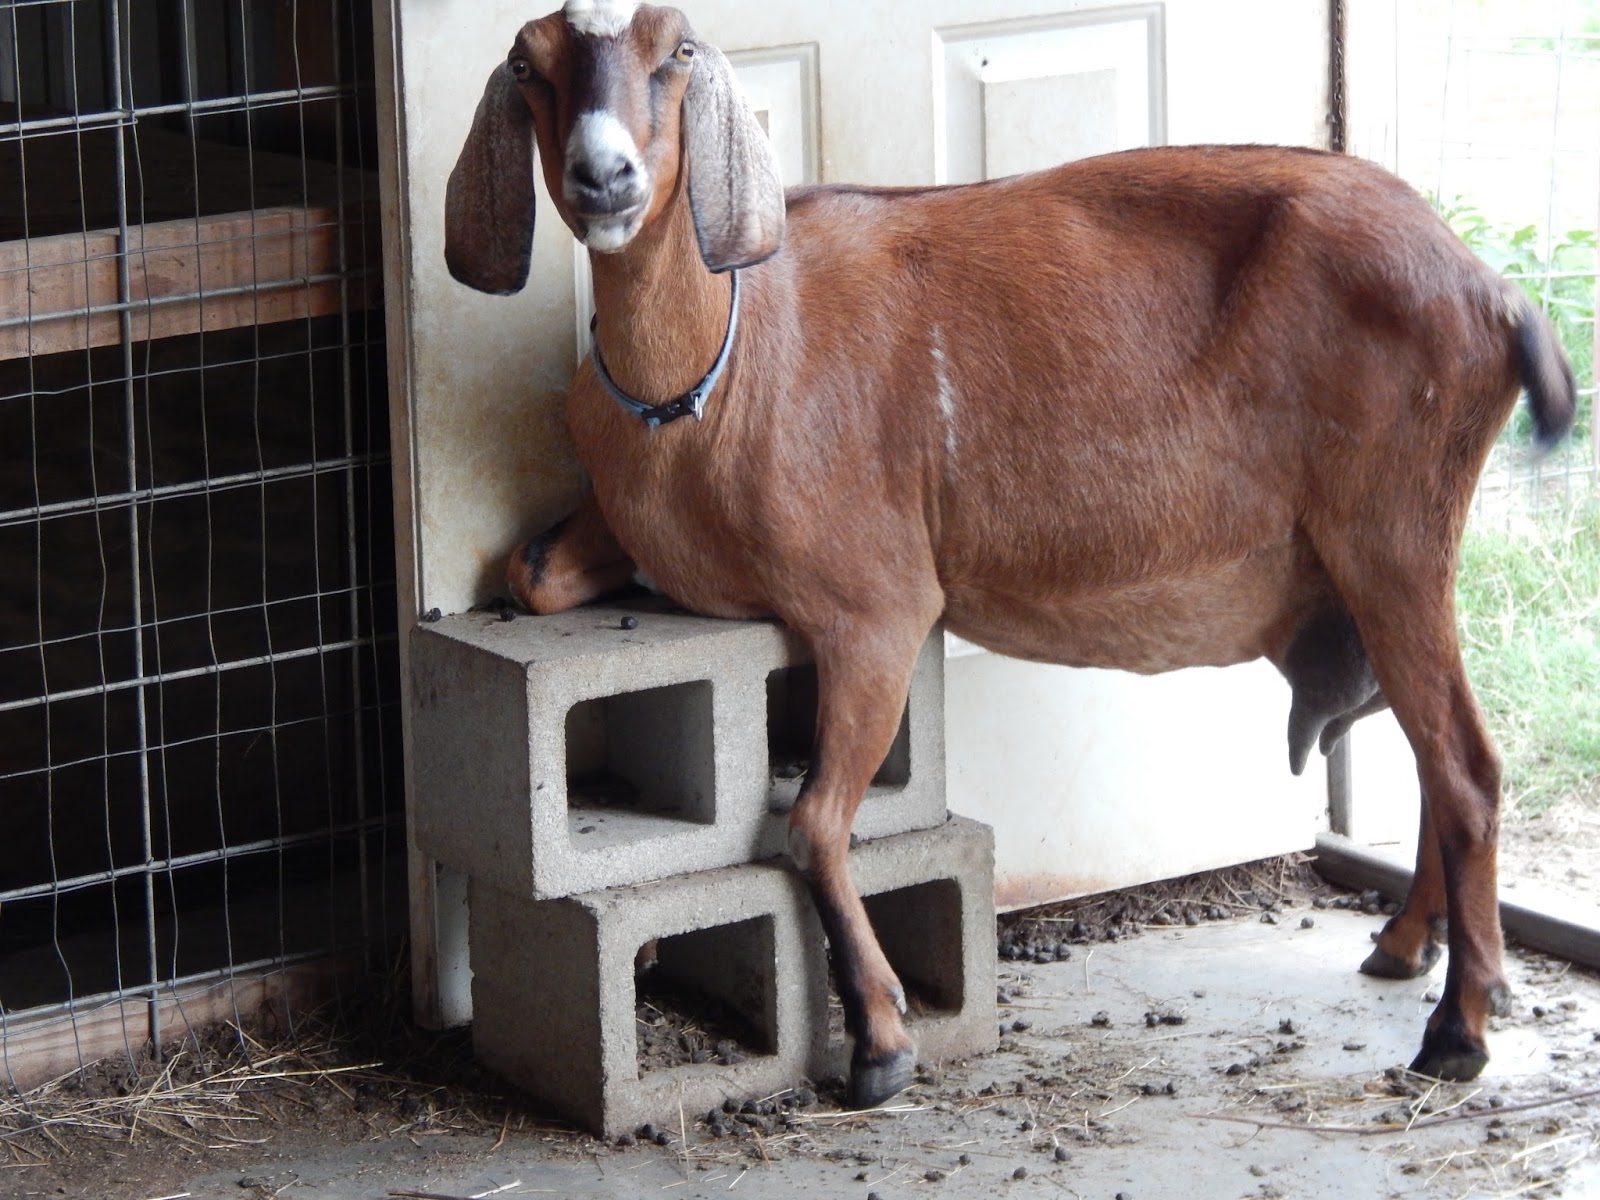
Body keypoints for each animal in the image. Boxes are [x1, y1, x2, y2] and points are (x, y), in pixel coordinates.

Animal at [444, 1, 1577, 1108]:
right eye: (530, 63)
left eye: (676, 51)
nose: (603, 177)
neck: (713, 375)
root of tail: (1495, 290)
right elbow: (531, 574)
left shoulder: (878, 607)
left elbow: (813, 824)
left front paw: (880, 1039)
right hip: (1383, 562)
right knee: (1435, 751)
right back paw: (1405, 944)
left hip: (1391, 535)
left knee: (1466, 766)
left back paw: (1457, 1031)